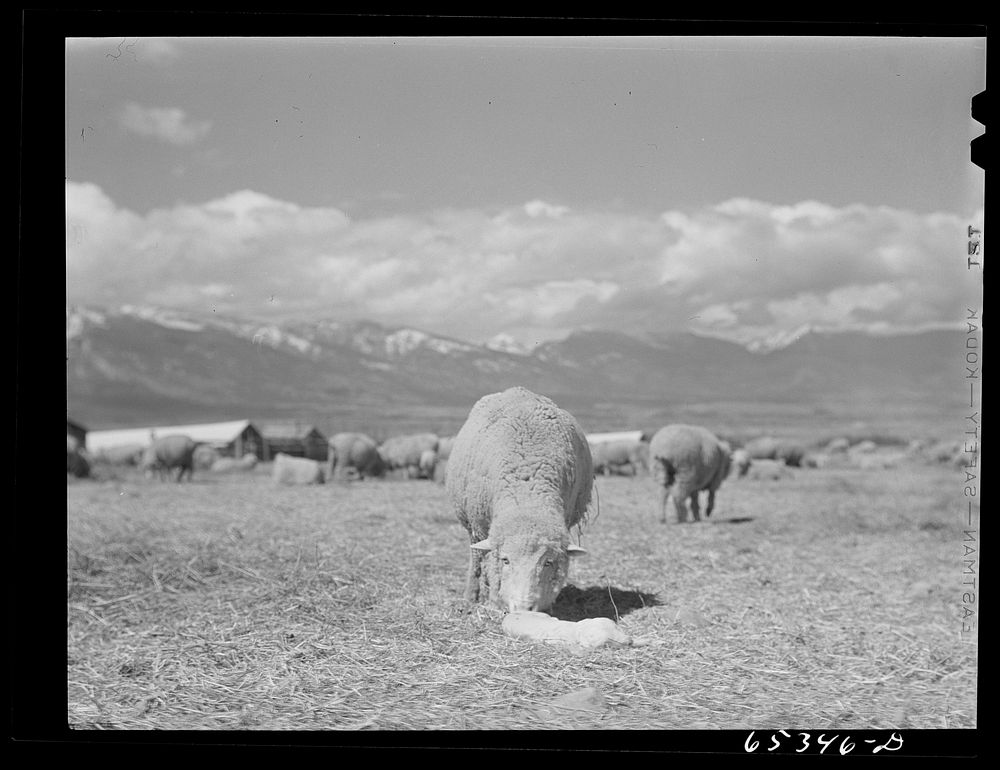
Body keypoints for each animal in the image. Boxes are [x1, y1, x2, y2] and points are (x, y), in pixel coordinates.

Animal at [446, 386, 593, 613]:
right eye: (505, 560)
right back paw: (472, 596)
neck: (527, 496)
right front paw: (493, 602)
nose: (523, 608)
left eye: (548, 562)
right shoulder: (482, 526)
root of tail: (518, 390)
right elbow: (487, 563)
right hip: (473, 525)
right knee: (477, 558)